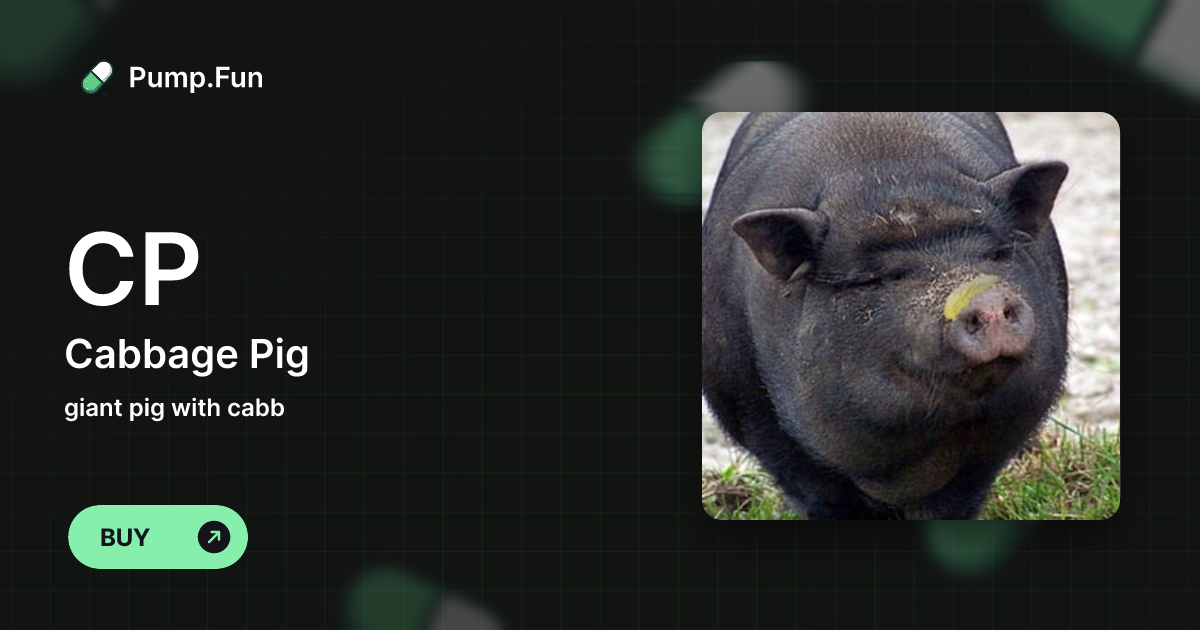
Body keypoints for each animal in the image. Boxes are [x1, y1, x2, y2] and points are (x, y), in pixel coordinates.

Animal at [701, 113, 1069, 519]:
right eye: (877, 278)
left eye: (997, 255)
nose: (985, 299)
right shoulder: (758, 418)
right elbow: (816, 491)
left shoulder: (986, 453)